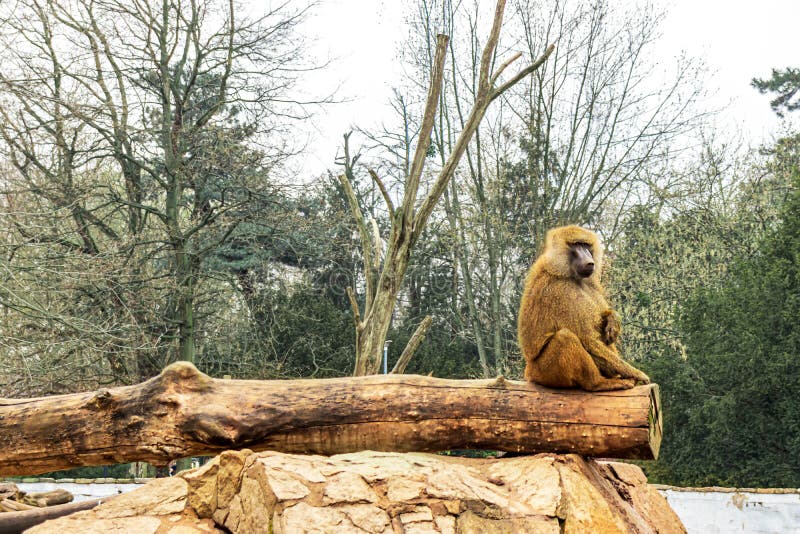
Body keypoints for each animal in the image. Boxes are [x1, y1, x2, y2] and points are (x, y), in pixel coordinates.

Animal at [517, 225, 650, 391]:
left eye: (586, 245)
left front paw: (613, 317)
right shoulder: (562, 292)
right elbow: (588, 341)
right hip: (543, 372)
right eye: (576, 244)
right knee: (565, 337)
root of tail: (529, 372)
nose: (589, 261)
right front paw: (638, 374)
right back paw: (599, 383)